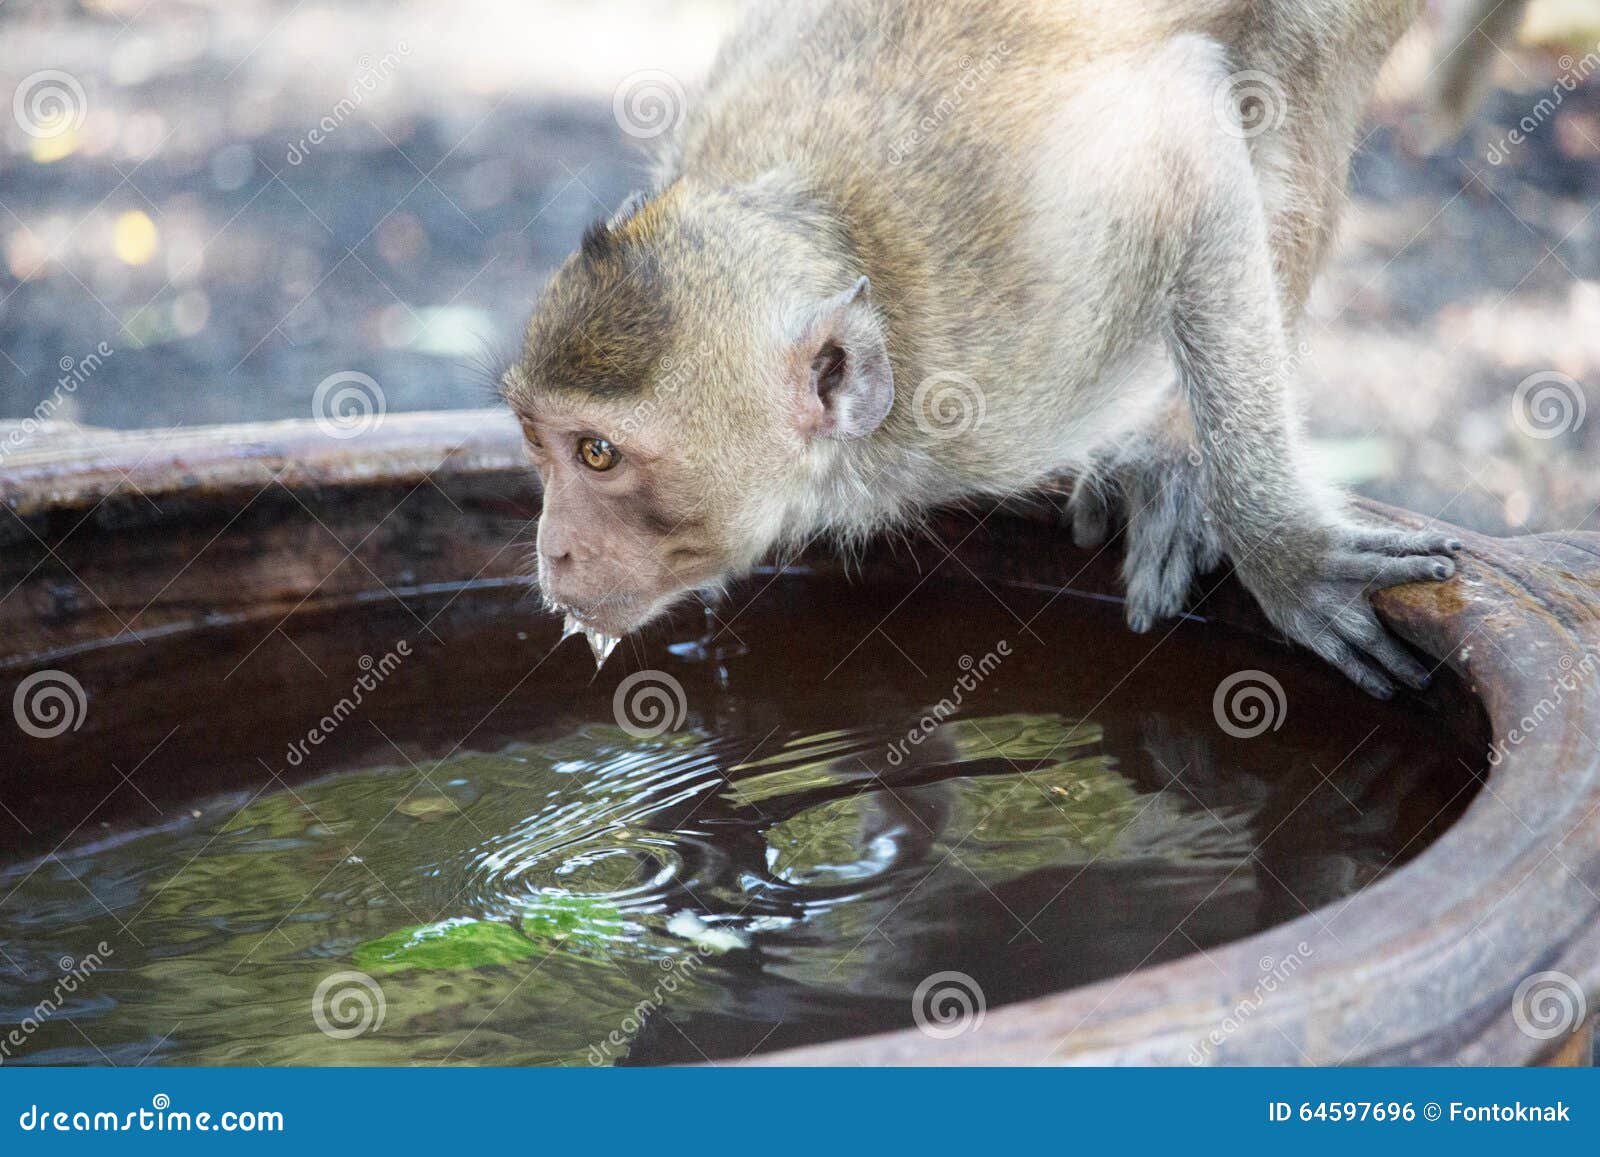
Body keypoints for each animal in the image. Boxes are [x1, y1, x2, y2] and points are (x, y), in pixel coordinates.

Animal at [502, 0, 1525, 698]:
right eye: (537, 443)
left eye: (599, 454)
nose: (554, 552)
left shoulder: (1015, 349)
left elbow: (1191, 152)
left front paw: (1282, 548)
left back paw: (1175, 454)